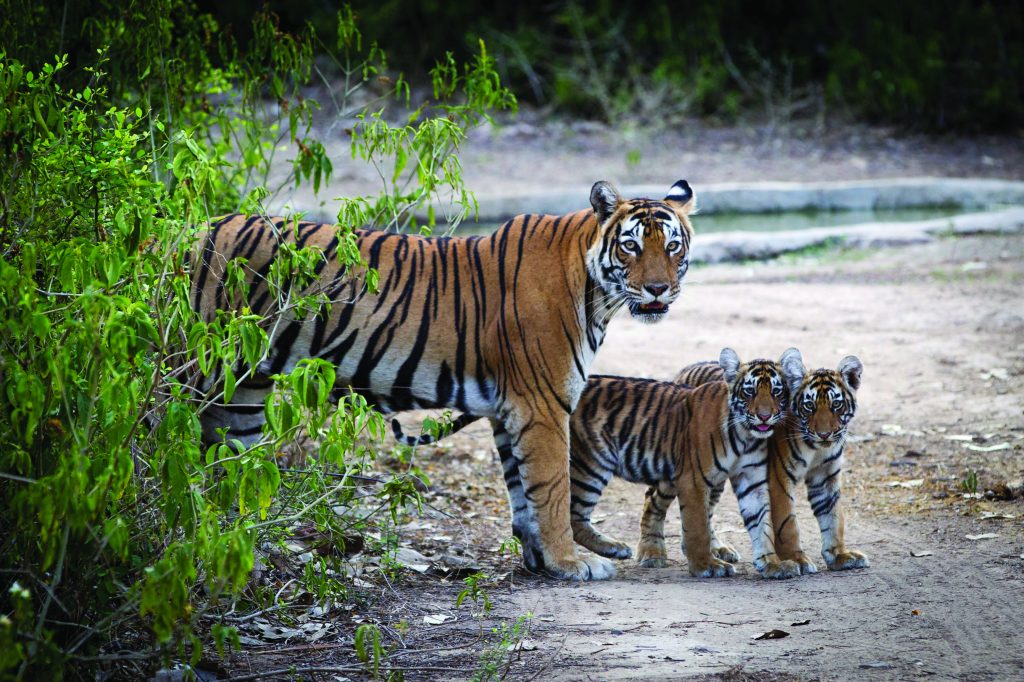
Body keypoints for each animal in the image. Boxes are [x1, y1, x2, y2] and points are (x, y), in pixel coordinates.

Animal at [187, 179, 697, 581]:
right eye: (631, 245)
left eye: (672, 246)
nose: (658, 289)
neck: (597, 294)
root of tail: (181, 232)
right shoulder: (543, 405)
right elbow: (552, 488)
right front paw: (570, 563)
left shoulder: (508, 409)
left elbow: (523, 493)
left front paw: (539, 561)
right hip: (193, 373)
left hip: (242, 394)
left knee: (227, 476)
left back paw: (239, 557)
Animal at [569, 349, 801, 579]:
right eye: (749, 391)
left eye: (776, 392)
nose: (764, 416)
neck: (746, 437)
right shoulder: (694, 480)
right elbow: (698, 526)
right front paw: (706, 565)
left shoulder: (752, 482)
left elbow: (762, 525)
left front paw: (773, 564)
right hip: (592, 465)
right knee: (574, 517)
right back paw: (620, 549)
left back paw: (630, 550)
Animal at [663, 348, 868, 574]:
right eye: (809, 406)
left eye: (836, 405)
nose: (824, 434)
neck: (817, 449)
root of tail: (687, 368)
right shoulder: (778, 476)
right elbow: (787, 523)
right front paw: (796, 559)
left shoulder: (826, 477)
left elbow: (833, 517)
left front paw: (840, 555)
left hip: (716, 477)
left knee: (706, 510)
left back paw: (718, 550)